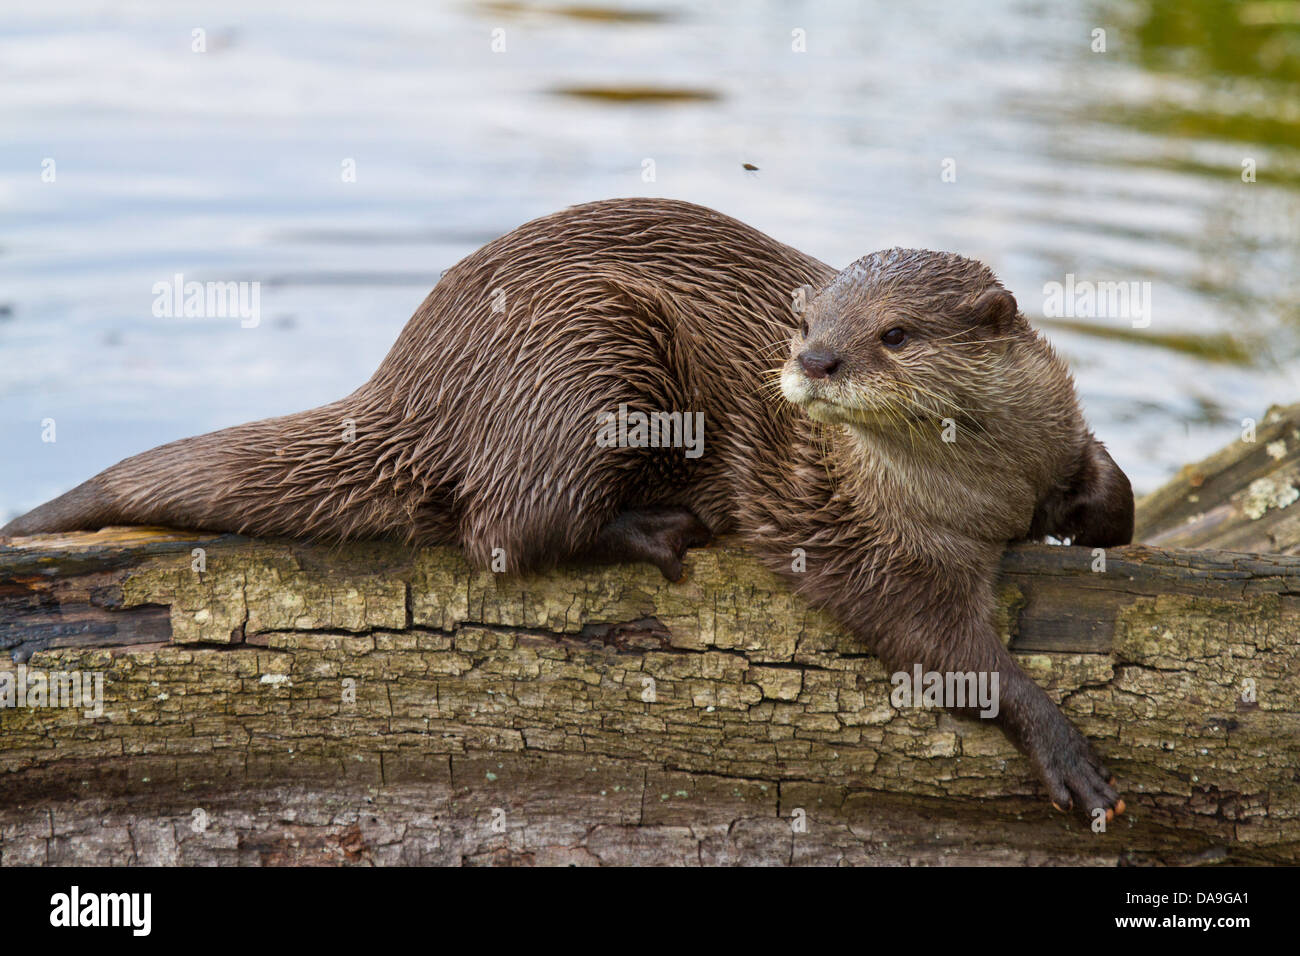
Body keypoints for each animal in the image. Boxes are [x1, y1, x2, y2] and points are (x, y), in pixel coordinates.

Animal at [2, 198, 1133, 817]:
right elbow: (945, 646)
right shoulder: (865, 543)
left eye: (893, 332)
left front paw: (1097, 511)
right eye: (807, 320)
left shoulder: (1046, 430)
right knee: (501, 531)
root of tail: (416, 379)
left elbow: (1096, 474)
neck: (976, 490)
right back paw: (656, 528)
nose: (814, 360)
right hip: (586, 347)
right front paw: (1065, 747)